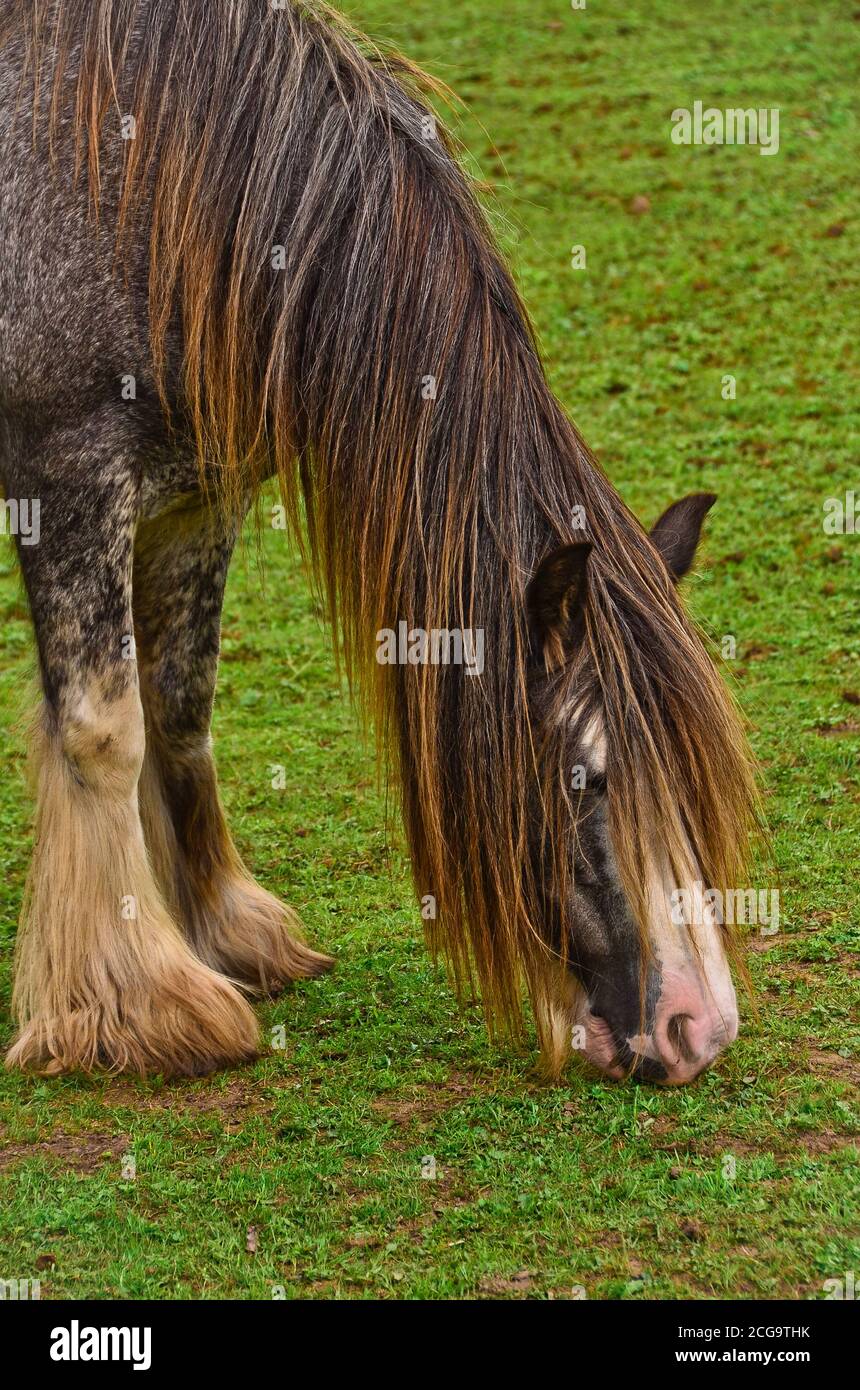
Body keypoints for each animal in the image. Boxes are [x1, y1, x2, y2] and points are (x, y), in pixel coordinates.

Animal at [0, 0, 758, 1083]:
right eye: (586, 778)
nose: (699, 1028)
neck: (140, 191)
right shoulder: (68, 478)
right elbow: (106, 729)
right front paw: (141, 1002)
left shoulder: (195, 498)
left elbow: (180, 708)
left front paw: (226, 931)